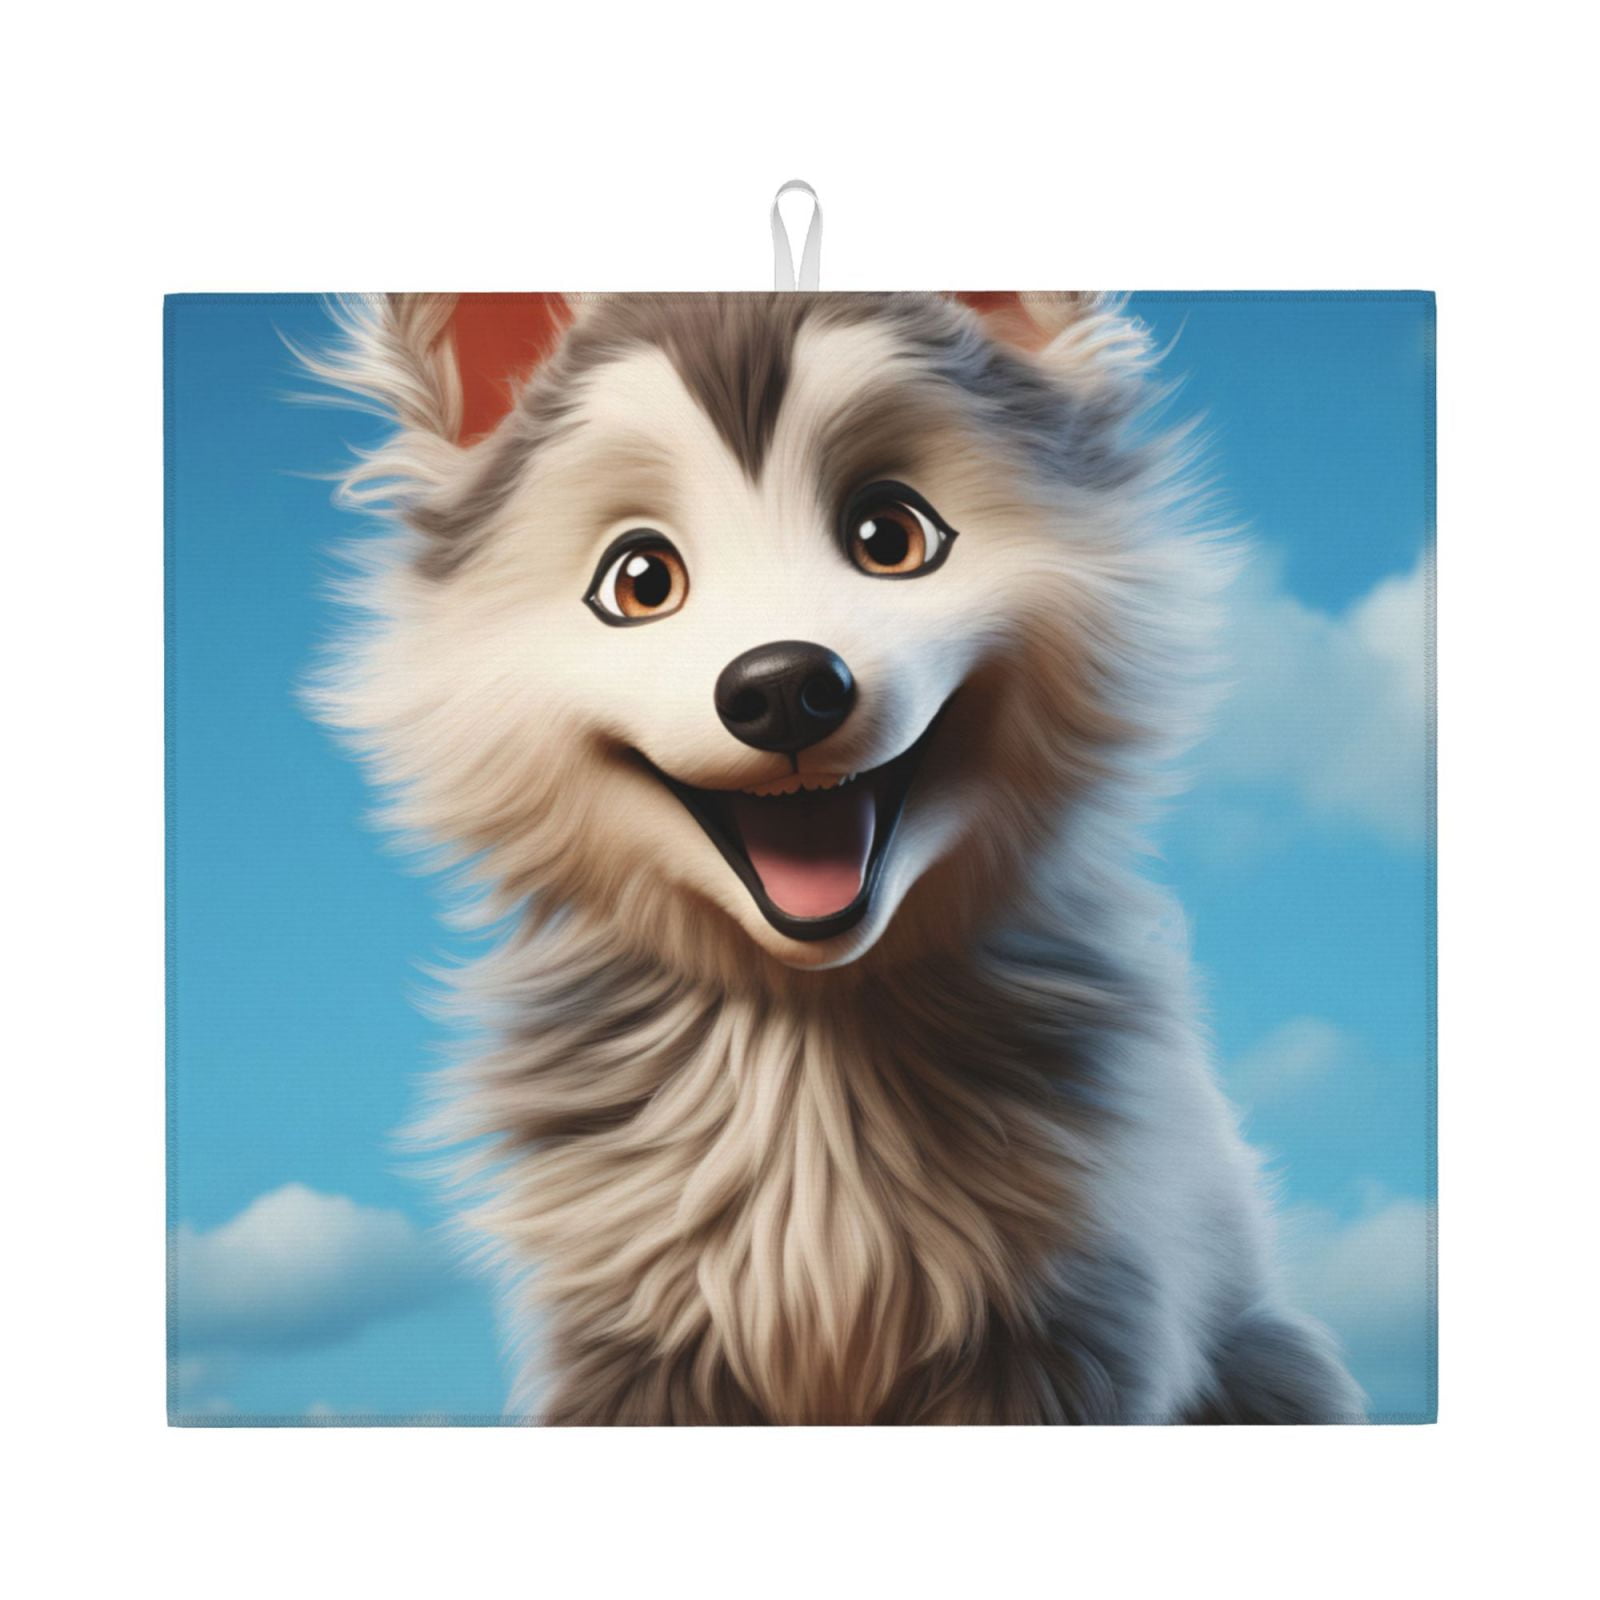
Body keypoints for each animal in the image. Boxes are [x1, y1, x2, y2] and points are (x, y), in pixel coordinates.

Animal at [302, 289, 1363, 1424]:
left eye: (890, 536)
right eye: (640, 580)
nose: (782, 688)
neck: (807, 1035)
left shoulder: (1077, 1313)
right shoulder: (628, 1334)